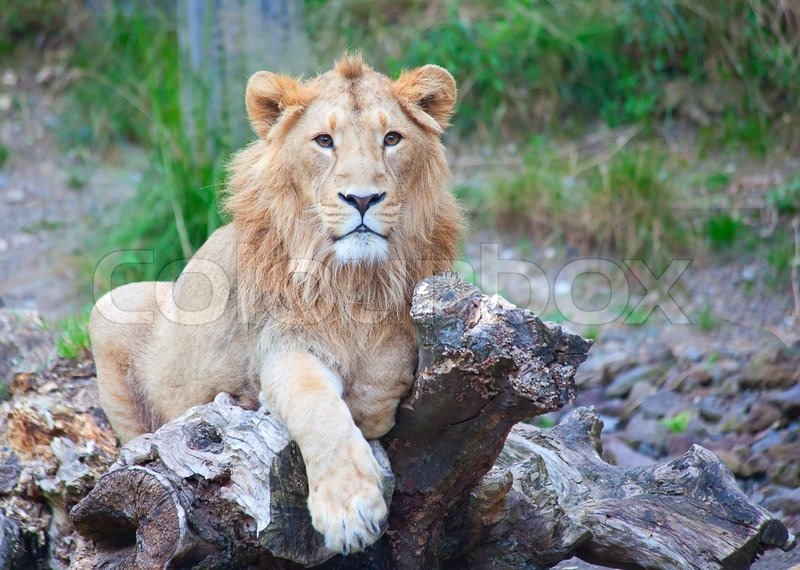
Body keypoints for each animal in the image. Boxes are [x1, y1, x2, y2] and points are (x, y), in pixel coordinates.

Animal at [89, 53, 461, 555]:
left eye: (391, 139)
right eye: (324, 141)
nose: (362, 198)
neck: (355, 277)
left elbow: (386, 362)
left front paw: (369, 407)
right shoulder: (280, 345)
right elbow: (316, 407)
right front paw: (349, 510)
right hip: (111, 306)